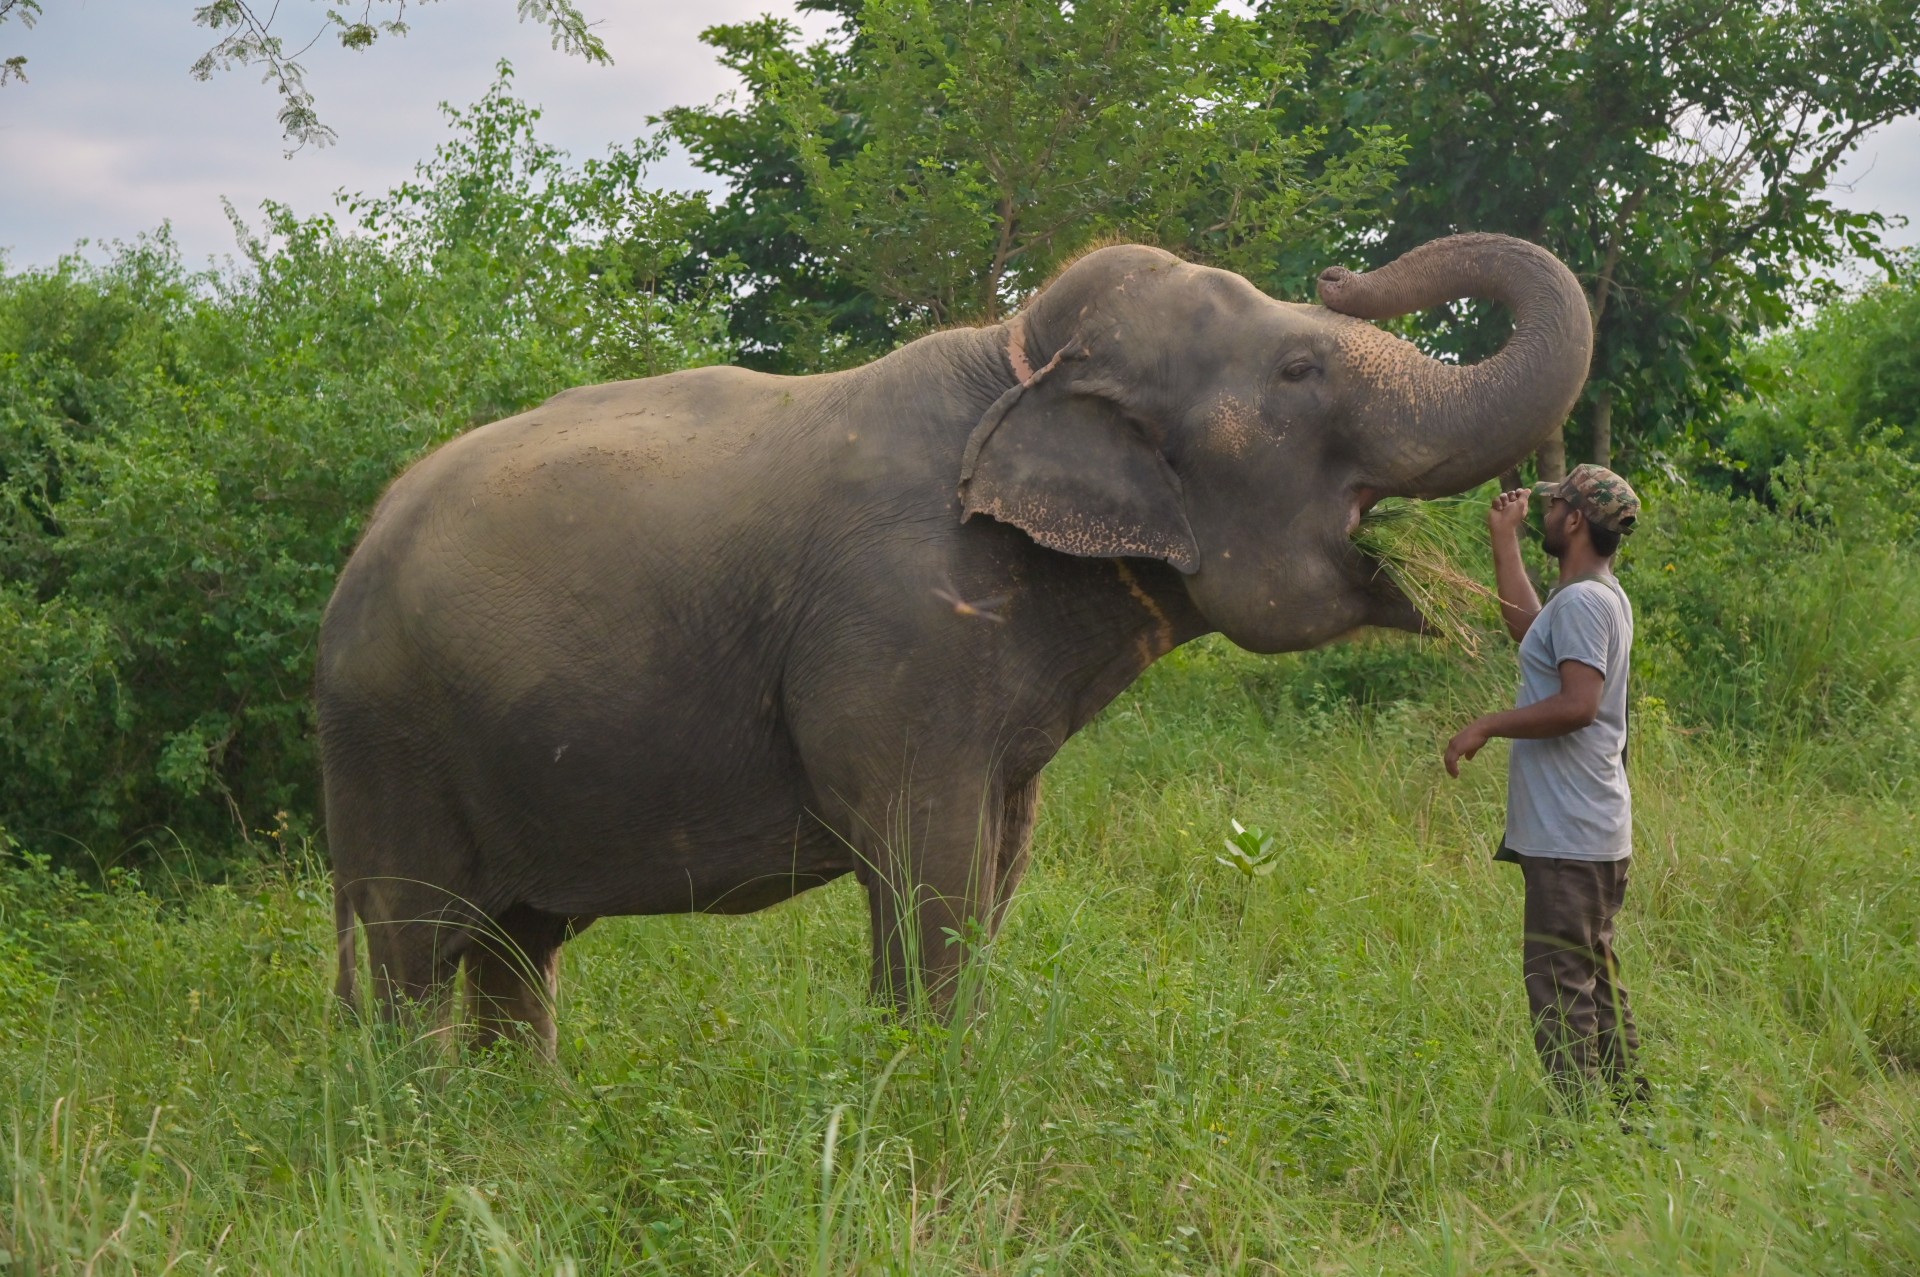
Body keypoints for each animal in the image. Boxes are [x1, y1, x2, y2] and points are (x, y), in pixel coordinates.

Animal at [318, 232, 1593, 1054]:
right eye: (1299, 366)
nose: (1340, 270)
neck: (1016, 358)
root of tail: (360, 542)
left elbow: (992, 862)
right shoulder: (893, 630)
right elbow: (920, 851)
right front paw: (934, 1087)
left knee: (513, 945)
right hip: (391, 738)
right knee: (412, 946)